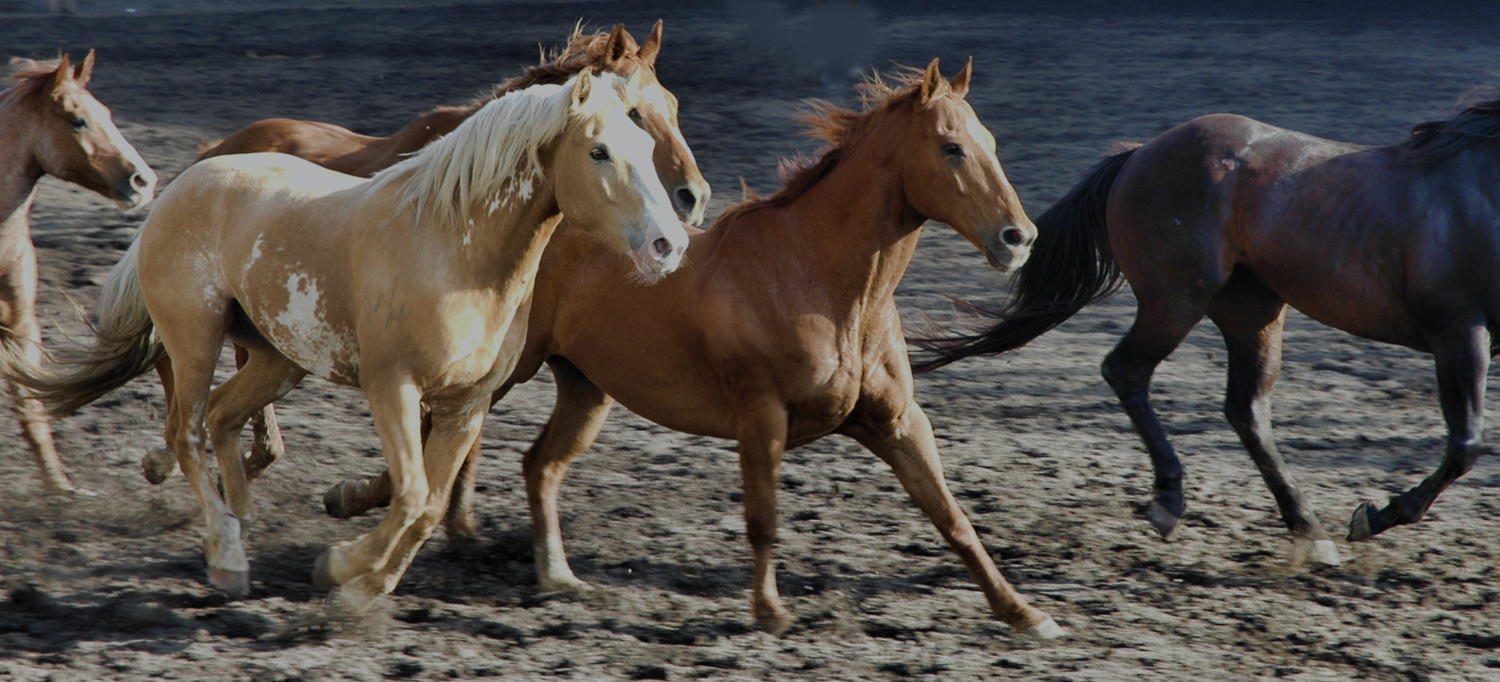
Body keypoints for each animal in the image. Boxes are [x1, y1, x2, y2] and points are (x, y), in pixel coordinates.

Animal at [0, 51, 156, 494]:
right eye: (78, 120)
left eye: (107, 113)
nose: (145, 181)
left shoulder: (20, 324)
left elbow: (31, 407)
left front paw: (60, 487)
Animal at [324, 59, 1062, 638]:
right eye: (950, 147)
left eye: (988, 140)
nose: (1018, 237)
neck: (819, 280)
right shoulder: (761, 416)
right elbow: (763, 518)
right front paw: (769, 612)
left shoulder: (897, 421)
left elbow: (953, 518)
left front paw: (1024, 614)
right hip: (505, 375)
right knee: (430, 444)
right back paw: (351, 509)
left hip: (585, 387)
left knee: (539, 465)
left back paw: (558, 577)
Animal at [913, 94, 1500, 565]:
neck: (1478, 188)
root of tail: (1138, 154)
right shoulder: (1458, 330)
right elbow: (1465, 445)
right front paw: (1374, 516)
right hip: (1177, 300)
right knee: (1127, 370)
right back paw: (1171, 502)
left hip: (1253, 311)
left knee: (1246, 410)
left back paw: (1309, 532)